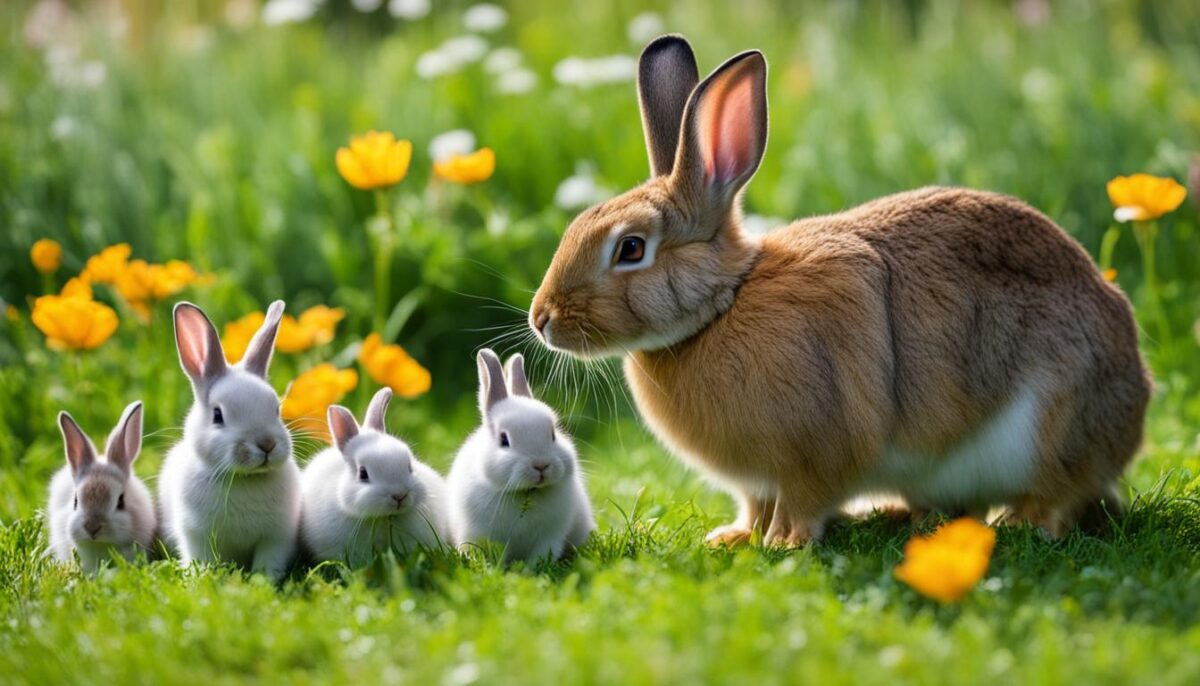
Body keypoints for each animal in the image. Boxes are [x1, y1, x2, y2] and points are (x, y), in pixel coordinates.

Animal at [158, 300, 300, 581]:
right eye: (217, 415)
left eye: (276, 409)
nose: (267, 444)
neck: (244, 480)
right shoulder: (197, 537)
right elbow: (203, 561)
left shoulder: (276, 538)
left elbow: (267, 563)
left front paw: (263, 582)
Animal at [446, 350, 595, 564]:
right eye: (504, 440)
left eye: (553, 434)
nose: (541, 465)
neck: (526, 492)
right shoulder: (477, 534)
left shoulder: (549, 537)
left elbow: (541, 556)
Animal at [528, 35, 1150, 546]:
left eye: (631, 248)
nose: (542, 318)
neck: (722, 308)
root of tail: (1135, 390)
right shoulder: (758, 482)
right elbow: (755, 505)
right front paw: (734, 538)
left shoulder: (815, 453)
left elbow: (805, 501)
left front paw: (784, 544)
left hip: (1053, 420)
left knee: (1060, 497)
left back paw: (1017, 520)